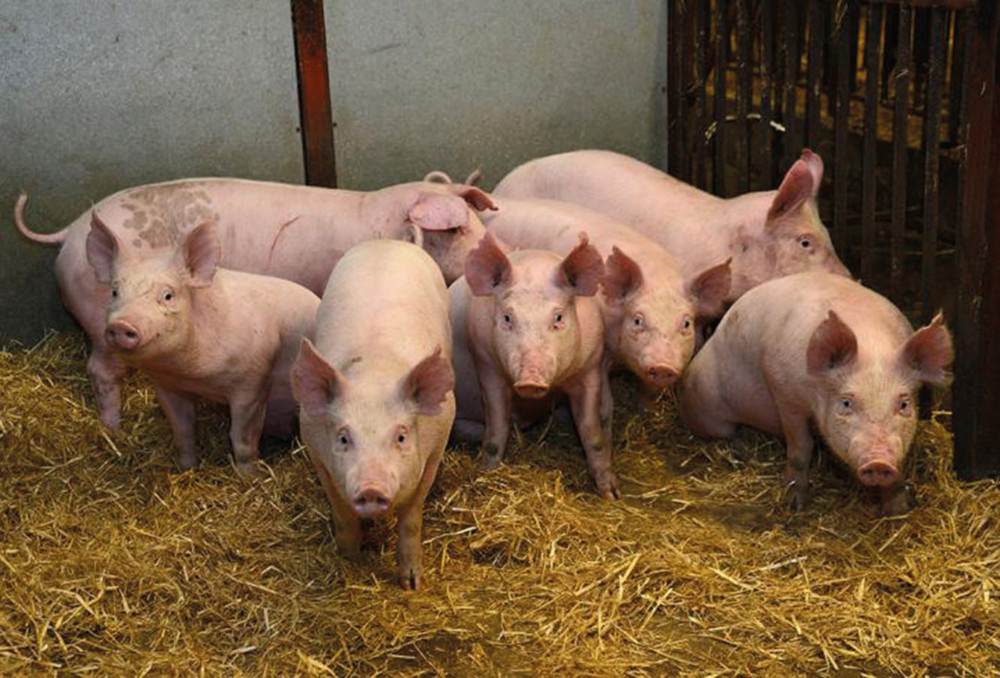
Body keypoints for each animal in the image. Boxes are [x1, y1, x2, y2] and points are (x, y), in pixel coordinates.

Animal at [15, 178, 494, 430]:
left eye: (475, 222)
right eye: (457, 230)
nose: (496, 250)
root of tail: (70, 231)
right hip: (104, 323)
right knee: (100, 369)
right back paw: (113, 427)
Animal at [85, 213, 320, 474]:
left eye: (168, 295)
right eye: (115, 292)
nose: (120, 324)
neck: (194, 375)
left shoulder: (251, 385)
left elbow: (243, 440)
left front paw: (250, 477)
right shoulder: (168, 387)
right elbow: (183, 432)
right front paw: (186, 469)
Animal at [290, 240, 455, 590]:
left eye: (401, 436)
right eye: (343, 438)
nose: (371, 489)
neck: (375, 372)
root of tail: (388, 242)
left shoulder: (438, 445)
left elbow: (411, 517)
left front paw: (411, 584)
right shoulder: (315, 448)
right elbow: (341, 512)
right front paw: (350, 558)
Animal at [450, 231, 621, 500]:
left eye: (558, 317)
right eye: (507, 318)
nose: (530, 380)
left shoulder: (590, 368)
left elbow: (592, 433)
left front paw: (612, 495)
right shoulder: (486, 364)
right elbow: (497, 431)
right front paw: (486, 474)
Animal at [679, 272, 953, 516]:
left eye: (904, 404)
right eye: (846, 403)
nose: (879, 463)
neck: (871, 345)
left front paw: (897, 511)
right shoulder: (785, 393)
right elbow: (801, 448)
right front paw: (794, 505)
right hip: (707, 411)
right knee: (728, 433)